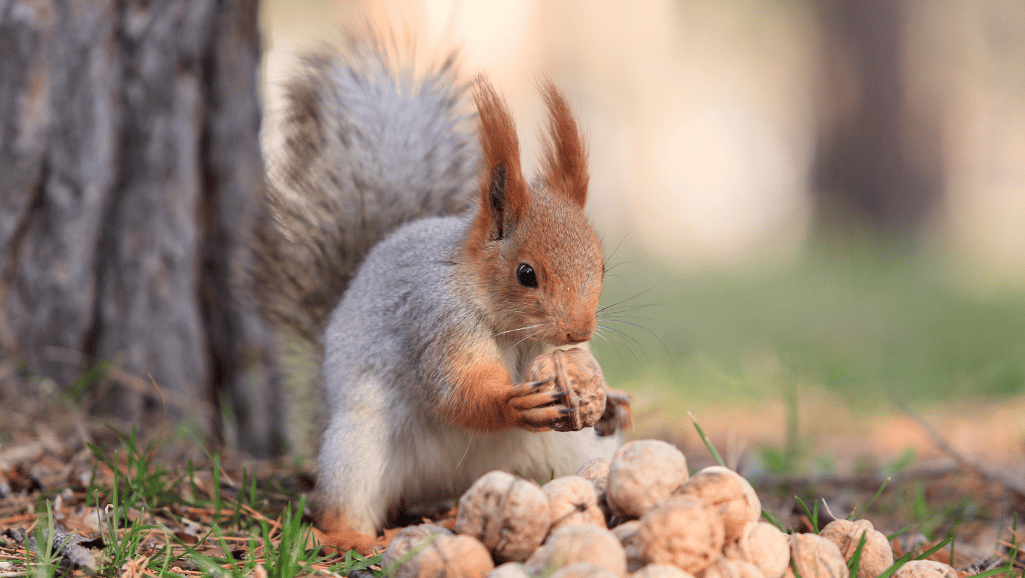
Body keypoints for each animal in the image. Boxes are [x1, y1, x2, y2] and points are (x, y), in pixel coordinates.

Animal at [253, 35, 631, 553]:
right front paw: (512, 405)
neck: (512, 327)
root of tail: (450, 484)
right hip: (361, 443)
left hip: (565, 447)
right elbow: (456, 392)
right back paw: (353, 536)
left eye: (602, 265)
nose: (580, 329)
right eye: (526, 273)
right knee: (342, 501)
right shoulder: (437, 320)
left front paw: (613, 400)